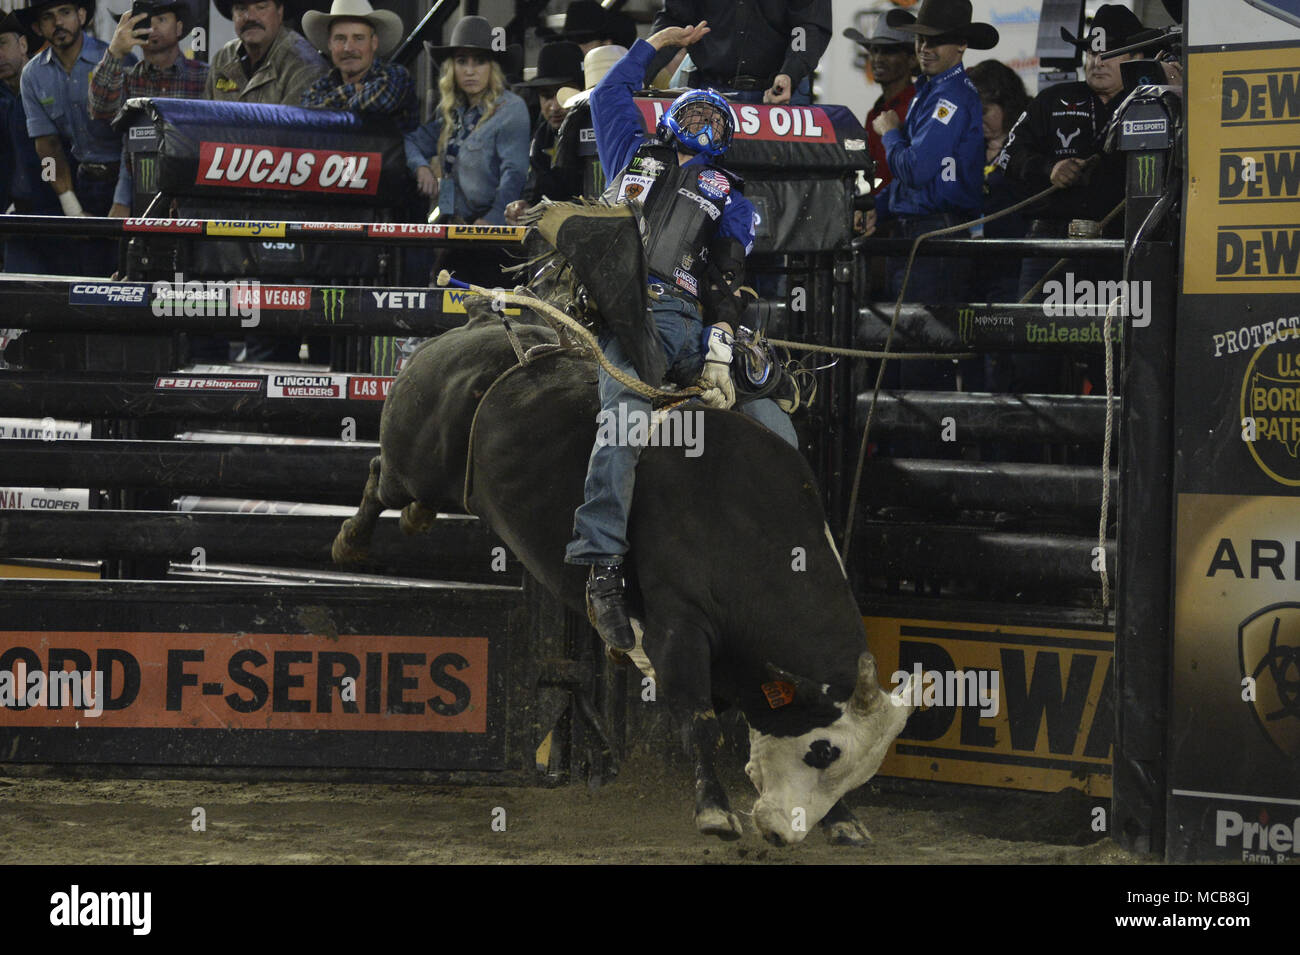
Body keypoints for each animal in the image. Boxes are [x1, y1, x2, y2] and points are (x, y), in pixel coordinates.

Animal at [333, 287, 914, 847]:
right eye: (822, 750)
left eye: (855, 768)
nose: (781, 833)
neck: (743, 523)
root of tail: (481, 325)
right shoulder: (677, 628)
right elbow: (699, 723)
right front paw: (715, 812)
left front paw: (843, 820)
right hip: (416, 457)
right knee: (380, 474)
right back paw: (351, 542)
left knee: (407, 495)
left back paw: (413, 520)